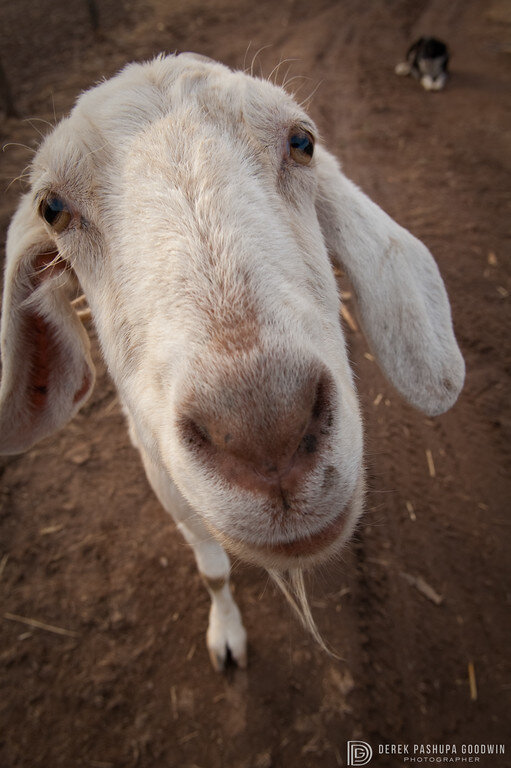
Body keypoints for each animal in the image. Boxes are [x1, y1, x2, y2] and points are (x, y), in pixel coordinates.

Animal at [0, 53, 465, 670]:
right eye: (52, 209)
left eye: (302, 142)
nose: (266, 434)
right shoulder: (171, 491)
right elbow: (214, 574)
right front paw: (226, 637)